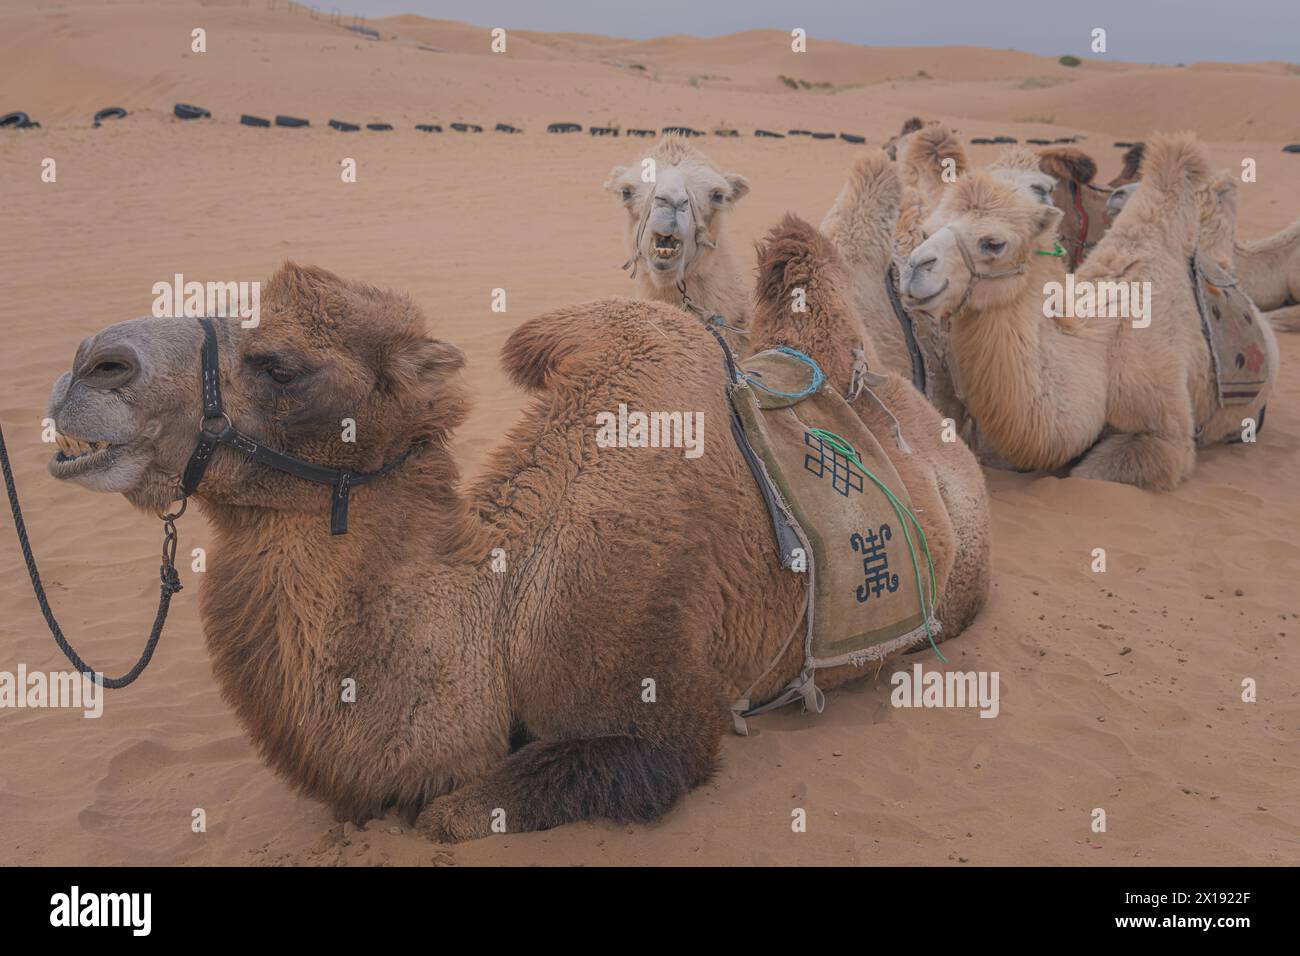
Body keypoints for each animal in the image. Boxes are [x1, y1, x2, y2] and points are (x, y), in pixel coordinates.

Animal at [899, 133, 1277, 490]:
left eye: (994, 243)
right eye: (926, 230)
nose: (914, 269)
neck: (1101, 354)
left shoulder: (1165, 438)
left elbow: (1090, 473)